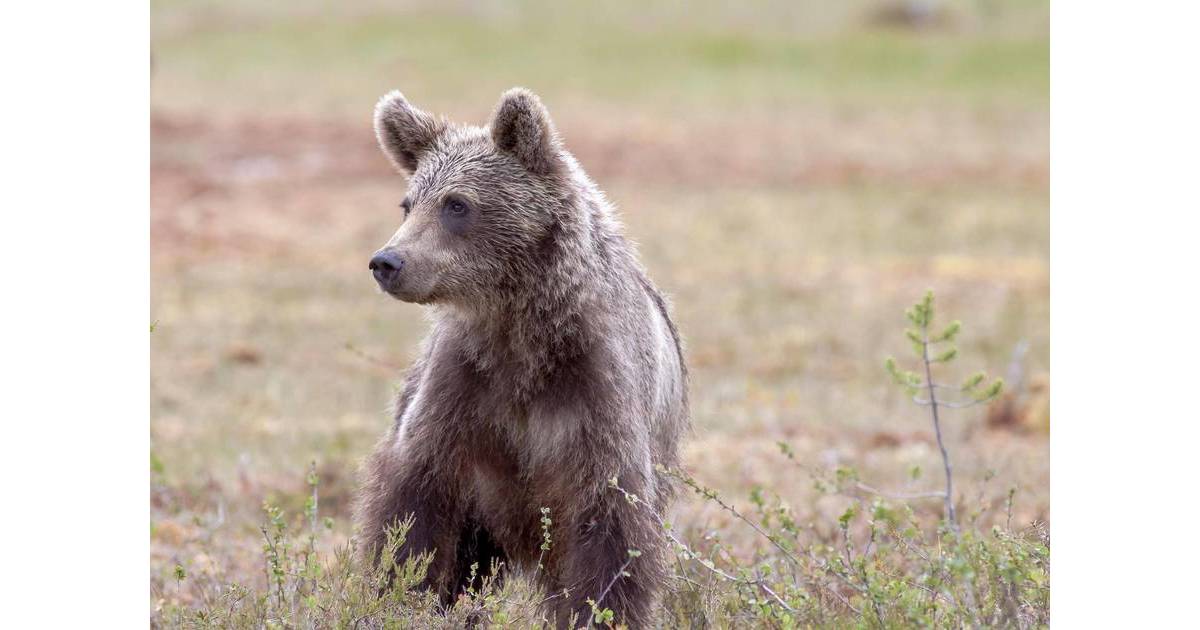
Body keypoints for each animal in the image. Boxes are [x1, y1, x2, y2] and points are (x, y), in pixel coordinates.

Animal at [353, 87, 689, 629]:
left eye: (457, 204)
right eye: (408, 203)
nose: (388, 261)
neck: (522, 335)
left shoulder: (595, 395)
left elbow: (610, 536)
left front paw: (598, 612)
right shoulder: (462, 393)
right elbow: (412, 514)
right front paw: (401, 595)